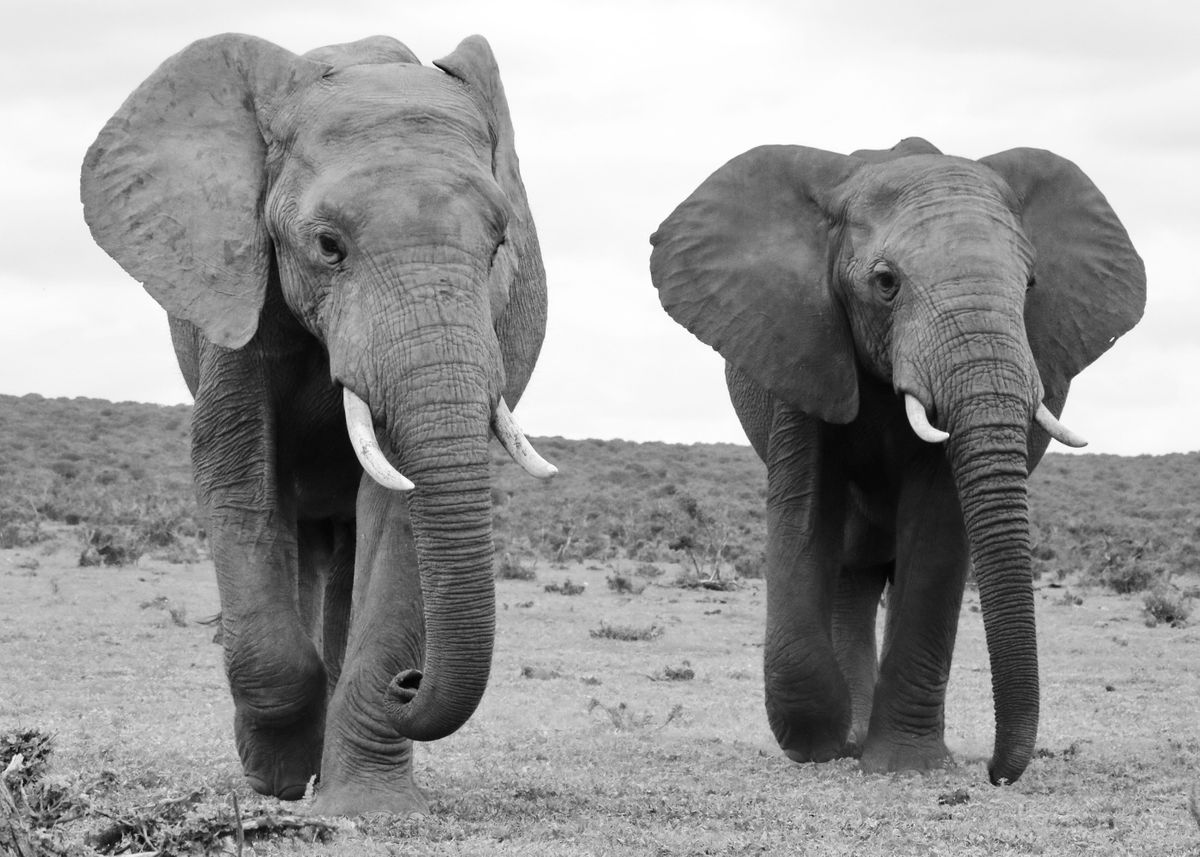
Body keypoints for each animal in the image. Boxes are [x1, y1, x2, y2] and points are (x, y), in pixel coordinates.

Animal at [80, 33, 556, 815]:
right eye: (329, 245)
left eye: (498, 249)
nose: (410, 685)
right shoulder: (235, 280)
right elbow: (237, 468)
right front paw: (275, 781)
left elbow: (397, 509)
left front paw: (366, 807)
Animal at [649, 137, 1144, 785]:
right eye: (885, 282)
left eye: (1032, 284)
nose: (996, 772)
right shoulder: (801, 344)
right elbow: (805, 508)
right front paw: (822, 741)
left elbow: (935, 527)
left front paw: (902, 766)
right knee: (850, 566)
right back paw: (850, 732)